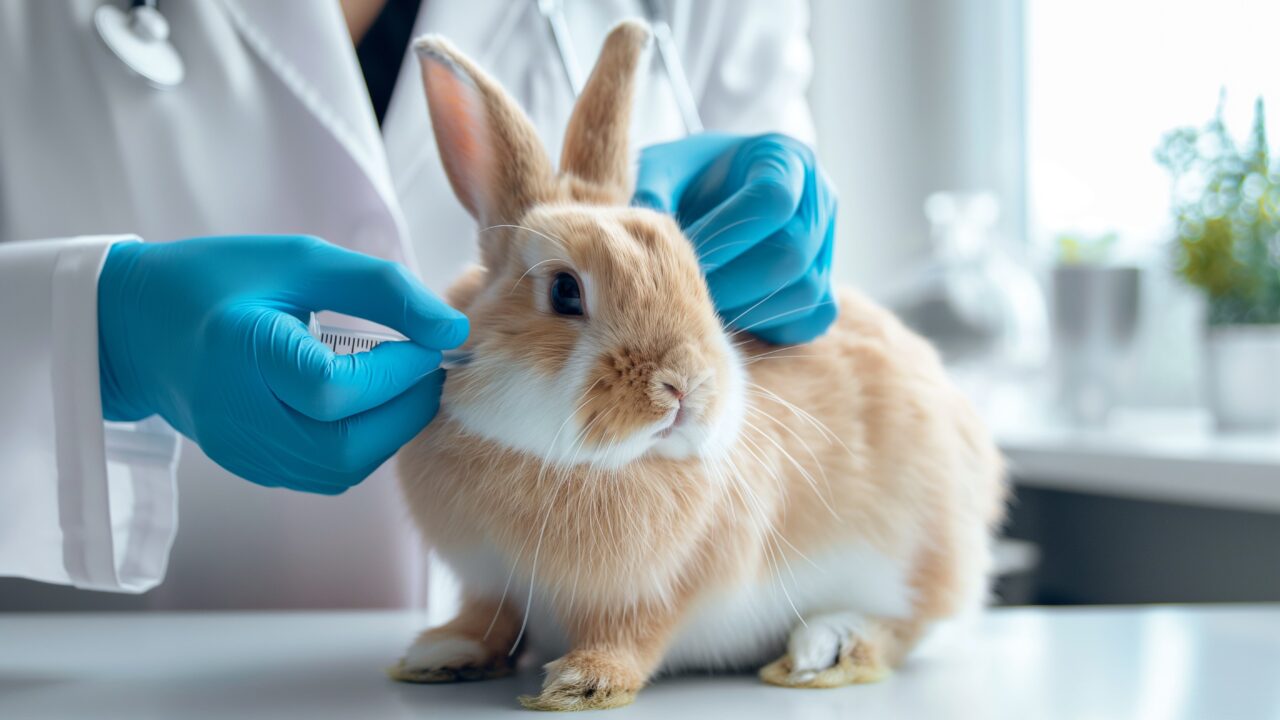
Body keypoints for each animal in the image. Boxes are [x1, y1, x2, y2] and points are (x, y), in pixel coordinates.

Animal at [392, 20, 1007, 712]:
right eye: (565, 292)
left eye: (700, 281)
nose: (684, 386)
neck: (572, 462)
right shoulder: (487, 577)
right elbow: (487, 618)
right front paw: (441, 652)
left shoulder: (660, 591)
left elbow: (632, 636)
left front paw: (582, 684)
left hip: (917, 555)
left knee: (909, 625)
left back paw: (823, 651)